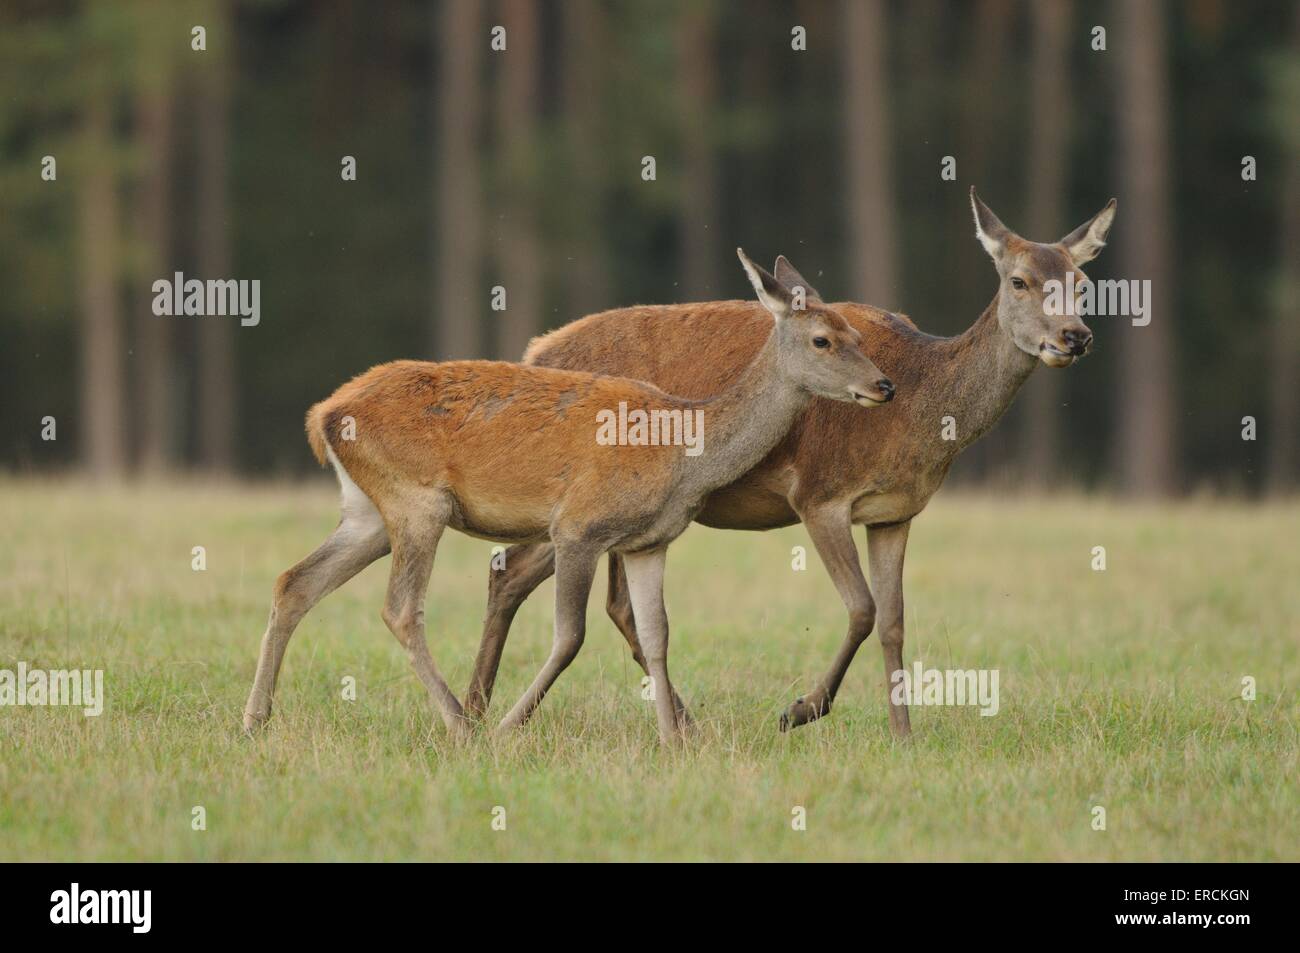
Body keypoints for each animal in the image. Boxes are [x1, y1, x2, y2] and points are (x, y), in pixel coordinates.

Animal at [241, 250, 894, 745]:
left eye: (859, 334)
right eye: (823, 339)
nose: (884, 385)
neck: (684, 456)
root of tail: (324, 415)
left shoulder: (649, 542)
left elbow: (657, 634)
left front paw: (672, 741)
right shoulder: (579, 526)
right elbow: (570, 635)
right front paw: (509, 728)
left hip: (367, 511)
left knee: (294, 582)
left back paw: (255, 719)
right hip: (416, 500)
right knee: (400, 608)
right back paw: (461, 725)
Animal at [463, 188, 1117, 738]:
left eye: (1084, 284)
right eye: (1019, 280)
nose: (1075, 337)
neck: (924, 419)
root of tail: (536, 348)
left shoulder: (896, 512)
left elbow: (895, 619)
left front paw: (904, 736)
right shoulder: (819, 494)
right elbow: (862, 608)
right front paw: (801, 709)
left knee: (556, 587)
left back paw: (487, 711)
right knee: (525, 575)